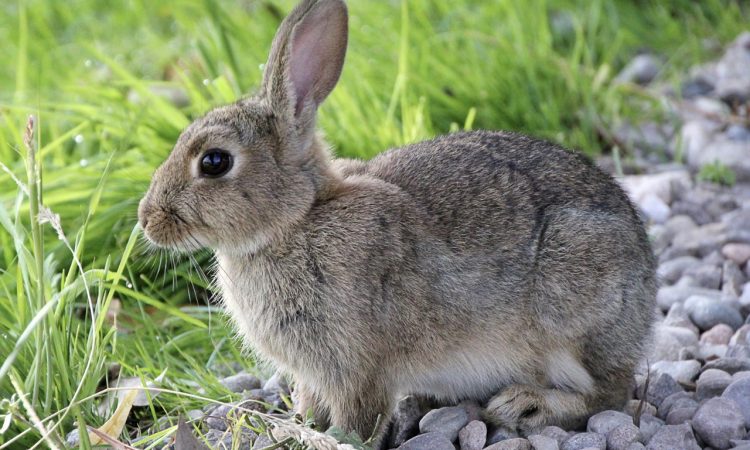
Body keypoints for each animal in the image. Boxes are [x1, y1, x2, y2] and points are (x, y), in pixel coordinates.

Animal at [138, 0, 657, 445]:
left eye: (215, 162)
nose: (148, 220)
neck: (298, 220)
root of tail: (647, 284)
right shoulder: (313, 372)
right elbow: (311, 403)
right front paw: (298, 426)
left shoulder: (357, 366)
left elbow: (358, 417)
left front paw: (334, 438)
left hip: (575, 308)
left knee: (609, 394)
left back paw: (526, 405)